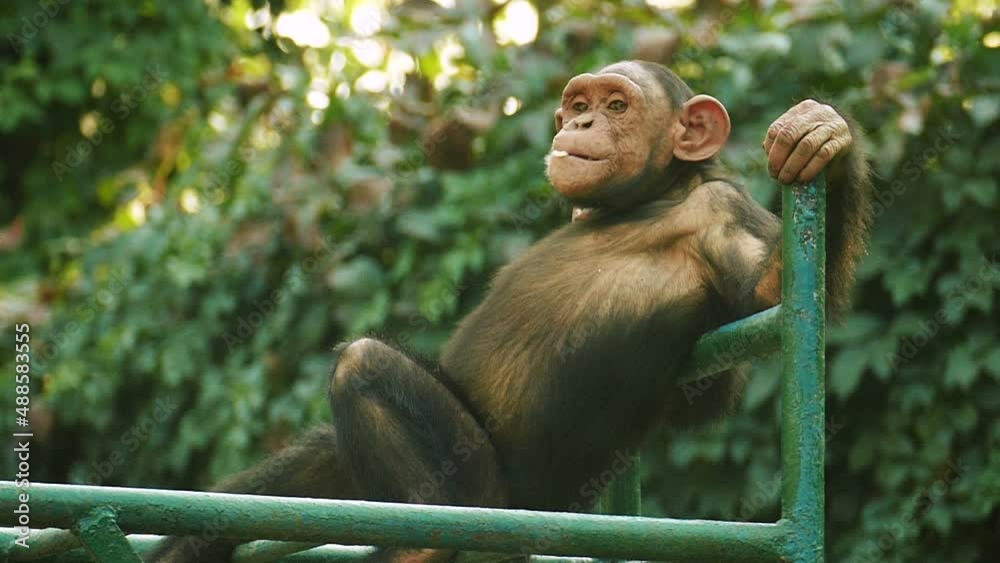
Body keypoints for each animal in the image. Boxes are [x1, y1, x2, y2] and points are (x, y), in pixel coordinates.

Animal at [149, 60, 872, 563]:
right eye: (579, 104)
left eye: (617, 105)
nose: (580, 125)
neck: (643, 199)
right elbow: (705, 396)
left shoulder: (725, 218)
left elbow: (769, 290)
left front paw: (824, 140)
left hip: (493, 498)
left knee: (366, 368)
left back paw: (419, 543)